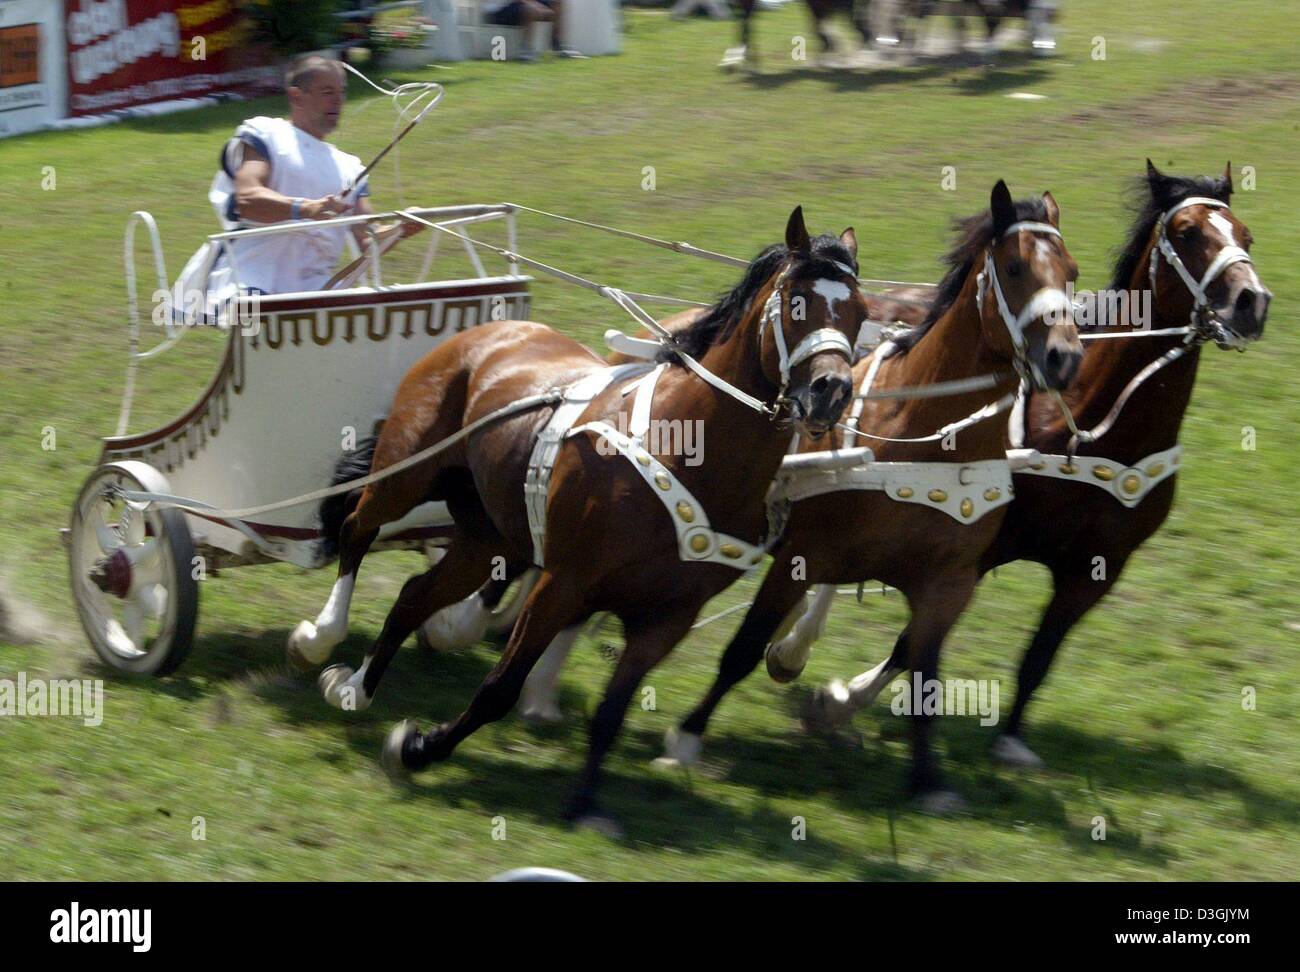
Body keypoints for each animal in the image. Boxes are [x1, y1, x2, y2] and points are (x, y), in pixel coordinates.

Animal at [287, 207, 870, 833]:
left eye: (861, 315)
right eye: (797, 303)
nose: (831, 392)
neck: (686, 449)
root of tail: (487, 334)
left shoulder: (669, 616)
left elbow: (612, 712)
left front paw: (586, 803)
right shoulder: (562, 583)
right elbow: (501, 686)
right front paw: (418, 748)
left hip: (491, 536)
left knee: (414, 595)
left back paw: (357, 686)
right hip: (404, 473)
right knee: (356, 530)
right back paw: (321, 640)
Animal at [646, 180, 1084, 813]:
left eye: (1071, 271)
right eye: (1015, 267)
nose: (1063, 358)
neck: (926, 438)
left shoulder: (950, 583)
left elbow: (923, 673)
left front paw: (928, 780)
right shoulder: (801, 557)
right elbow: (742, 648)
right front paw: (685, 738)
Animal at [798, 161, 1272, 769]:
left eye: (1246, 236)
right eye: (1188, 233)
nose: (1251, 302)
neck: (1094, 426)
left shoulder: (1096, 569)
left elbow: (1039, 657)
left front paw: (1011, 740)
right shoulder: (977, 546)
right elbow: (912, 644)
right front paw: (838, 700)